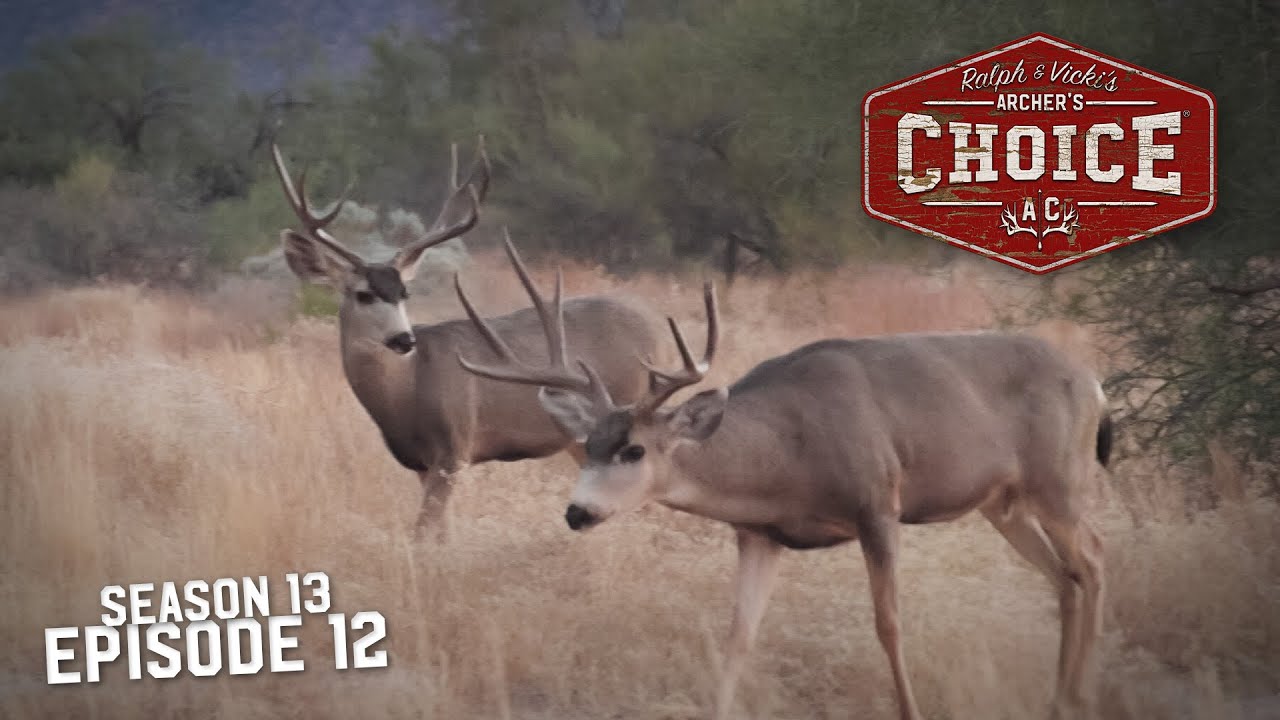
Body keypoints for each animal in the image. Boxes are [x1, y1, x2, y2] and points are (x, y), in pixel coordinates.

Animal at [271, 140, 665, 539]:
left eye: (404, 293)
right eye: (364, 294)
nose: (404, 339)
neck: (407, 392)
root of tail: (653, 322)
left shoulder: (454, 448)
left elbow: (424, 532)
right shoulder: (421, 464)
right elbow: (441, 533)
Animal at [454, 270, 1113, 720]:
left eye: (633, 451)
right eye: (587, 445)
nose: (577, 511)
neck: (788, 454)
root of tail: (1093, 381)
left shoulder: (879, 505)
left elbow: (888, 623)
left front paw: (911, 710)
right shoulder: (758, 534)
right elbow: (738, 634)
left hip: (1059, 480)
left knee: (1094, 560)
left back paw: (1083, 695)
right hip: (1006, 503)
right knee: (1064, 578)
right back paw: (1058, 699)